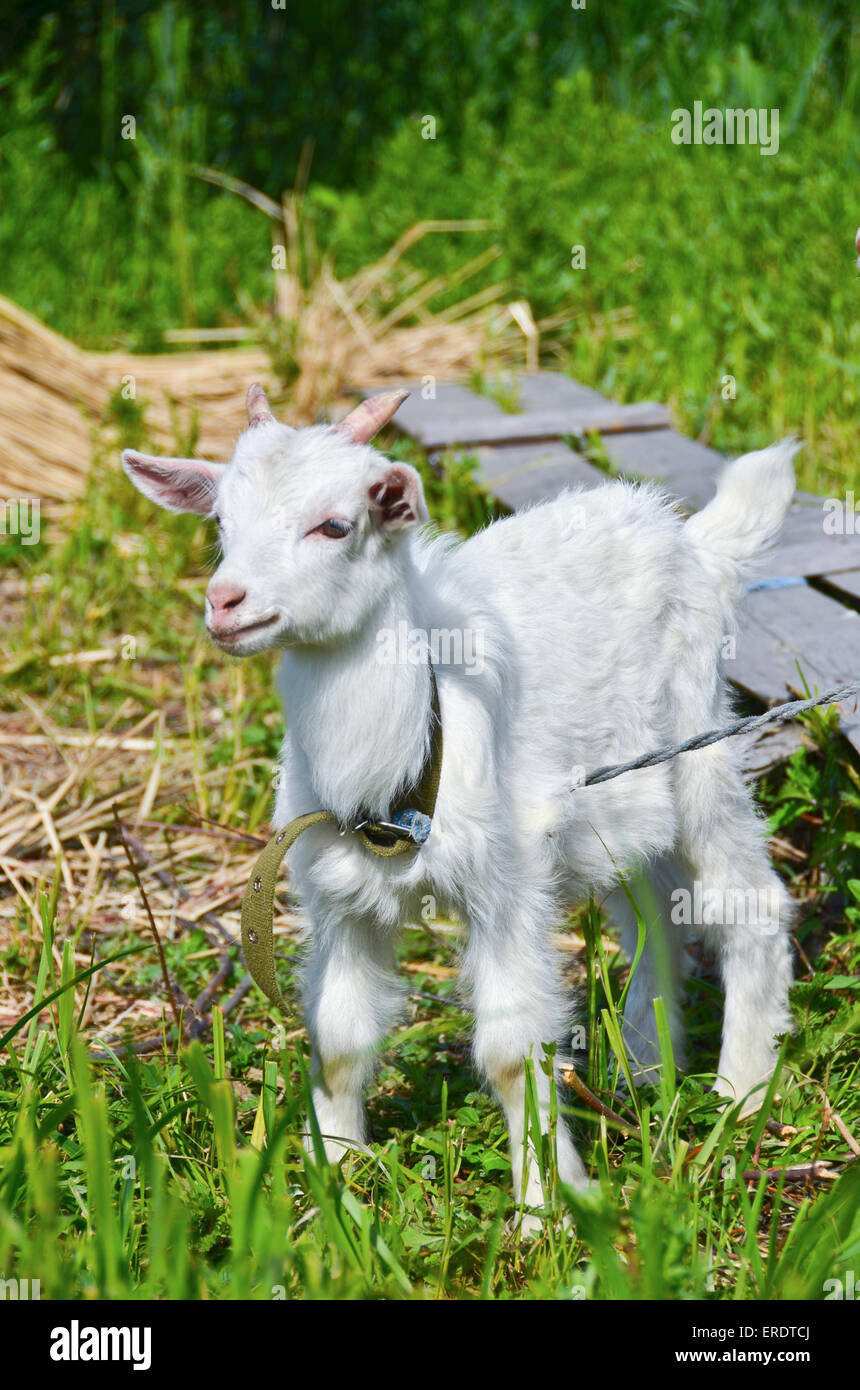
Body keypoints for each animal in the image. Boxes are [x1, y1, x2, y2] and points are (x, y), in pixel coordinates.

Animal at [122, 385, 797, 1226]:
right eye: (220, 523)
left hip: (699, 745)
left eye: (335, 524)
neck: (404, 759)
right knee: (655, 920)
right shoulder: (337, 897)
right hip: (618, 814)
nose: (225, 603)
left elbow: (511, 1052)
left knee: (749, 902)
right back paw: (644, 1073)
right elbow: (338, 1037)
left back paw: (741, 1097)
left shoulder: (506, 884)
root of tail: (692, 540)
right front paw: (336, 1185)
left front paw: (547, 1208)